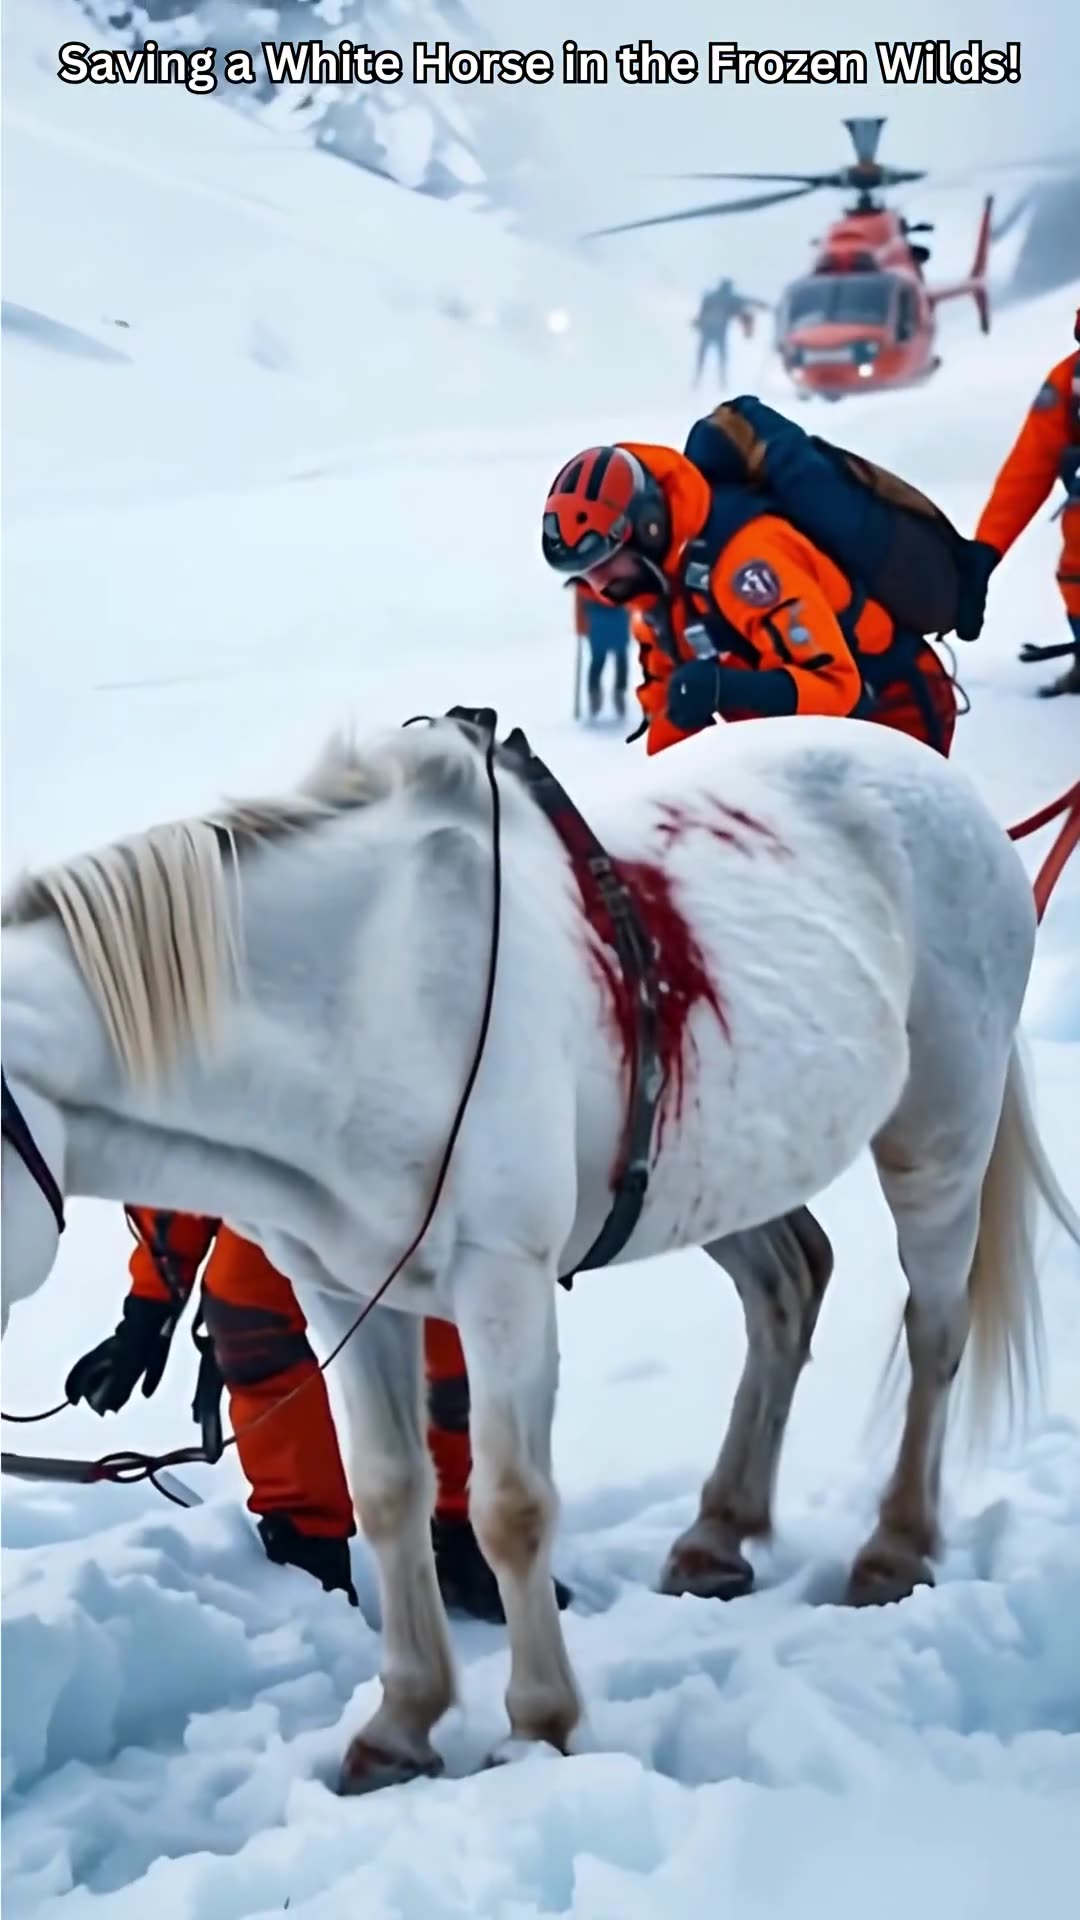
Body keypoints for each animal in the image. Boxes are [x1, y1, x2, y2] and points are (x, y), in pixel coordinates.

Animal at [2, 710, 1076, 1794]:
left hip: (940, 1129)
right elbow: (389, 1494)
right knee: (790, 1285)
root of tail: (941, 780)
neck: (364, 999)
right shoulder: (343, 1288)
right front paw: (401, 1723)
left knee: (934, 1329)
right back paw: (719, 1531)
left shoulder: (502, 1281)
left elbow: (511, 1506)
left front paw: (542, 1726)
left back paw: (894, 1548)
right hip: (720, 1168)